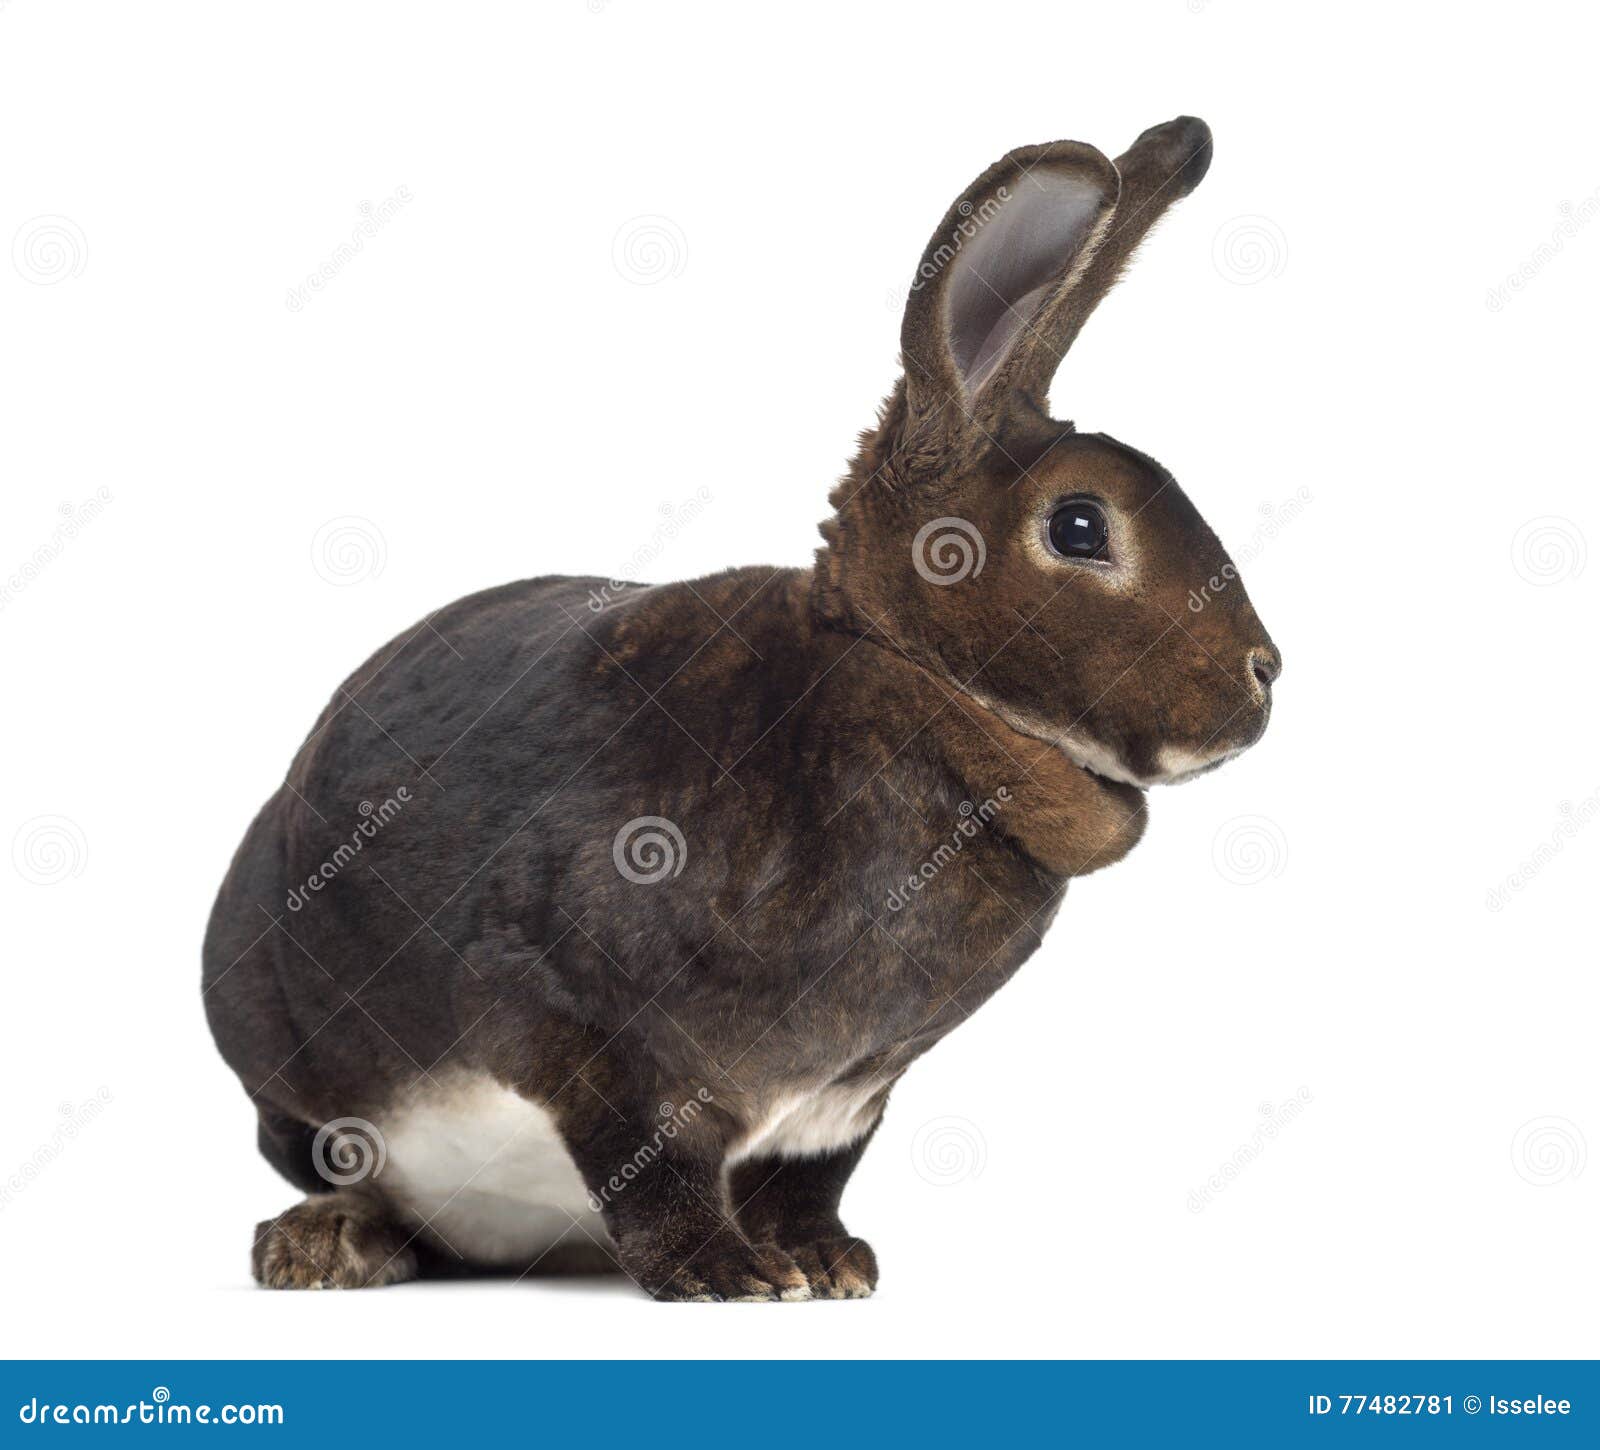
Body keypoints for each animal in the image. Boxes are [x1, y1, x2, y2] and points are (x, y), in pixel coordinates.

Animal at [203, 115, 1280, 1301]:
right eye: (1080, 527)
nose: (1264, 674)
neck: (914, 694)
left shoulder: (843, 1100)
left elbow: (807, 1179)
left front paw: (826, 1264)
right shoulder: (584, 1029)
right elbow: (649, 1165)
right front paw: (728, 1276)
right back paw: (326, 1245)